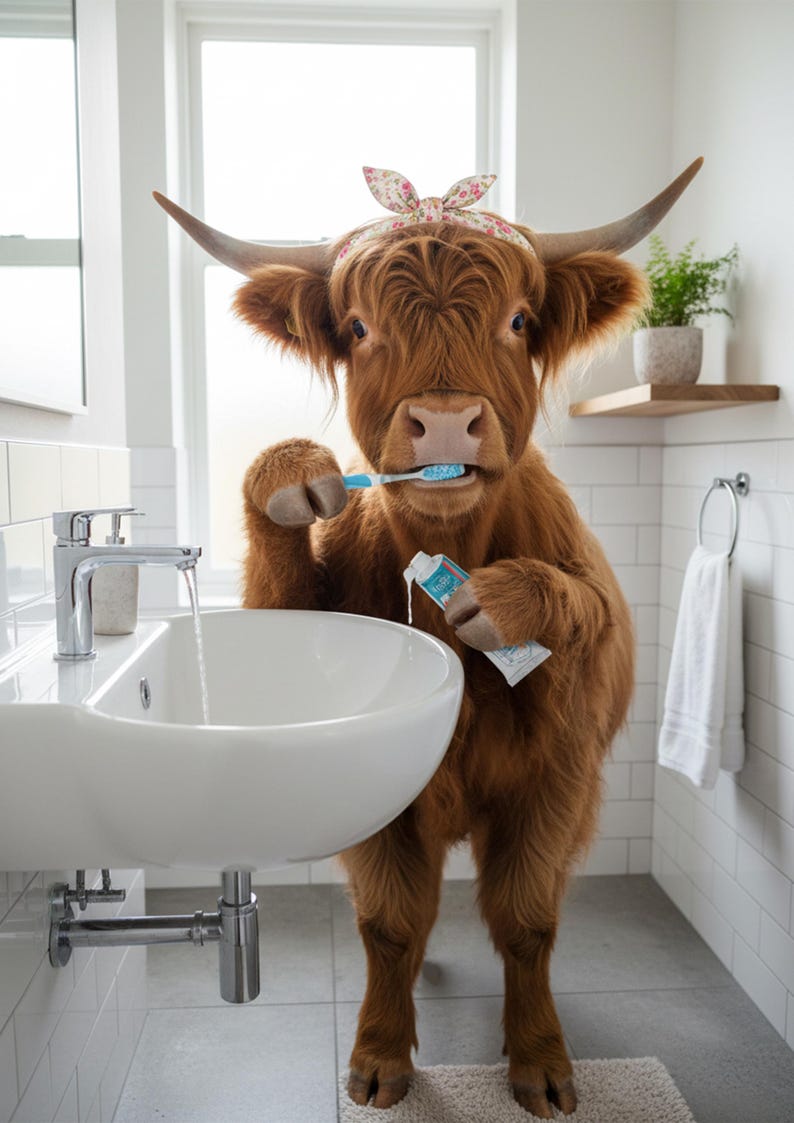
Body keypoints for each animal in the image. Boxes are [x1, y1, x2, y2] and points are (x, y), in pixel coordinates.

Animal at [155, 157, 701, 1118]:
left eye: (517, 319)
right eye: (359, 325)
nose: (445, 423)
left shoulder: (557, 777)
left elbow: (527, 921)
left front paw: (541, 1062)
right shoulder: (374, 785)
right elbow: (389, 921)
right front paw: (380, 1055)